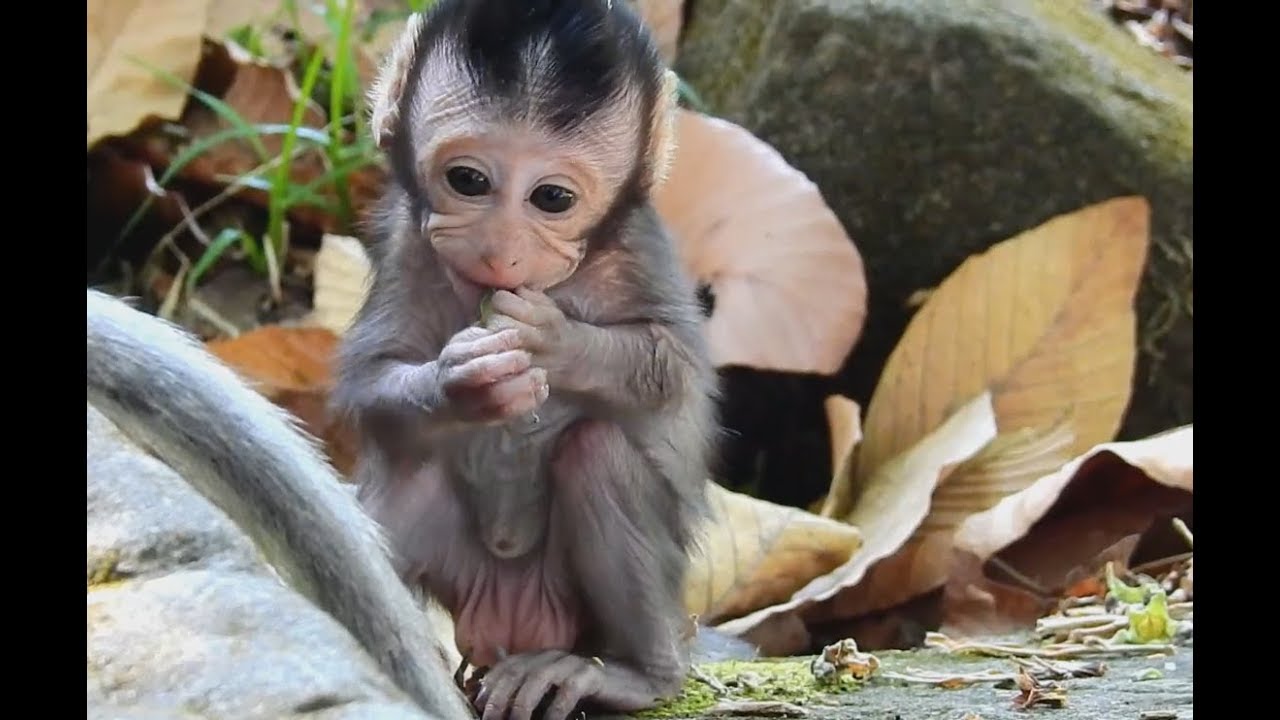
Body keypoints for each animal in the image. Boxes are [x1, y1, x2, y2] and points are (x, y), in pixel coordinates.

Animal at [328, 1, 736, 718]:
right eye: (468, 181)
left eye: (552, 198)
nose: (501, 251)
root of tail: (509, 621)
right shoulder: (409, 242)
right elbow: (371, 382)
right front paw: (461, 384)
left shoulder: (638, 251)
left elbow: (672, 368)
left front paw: (552, 340)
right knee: (411, 475)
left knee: (597, 453)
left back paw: (638, 674)